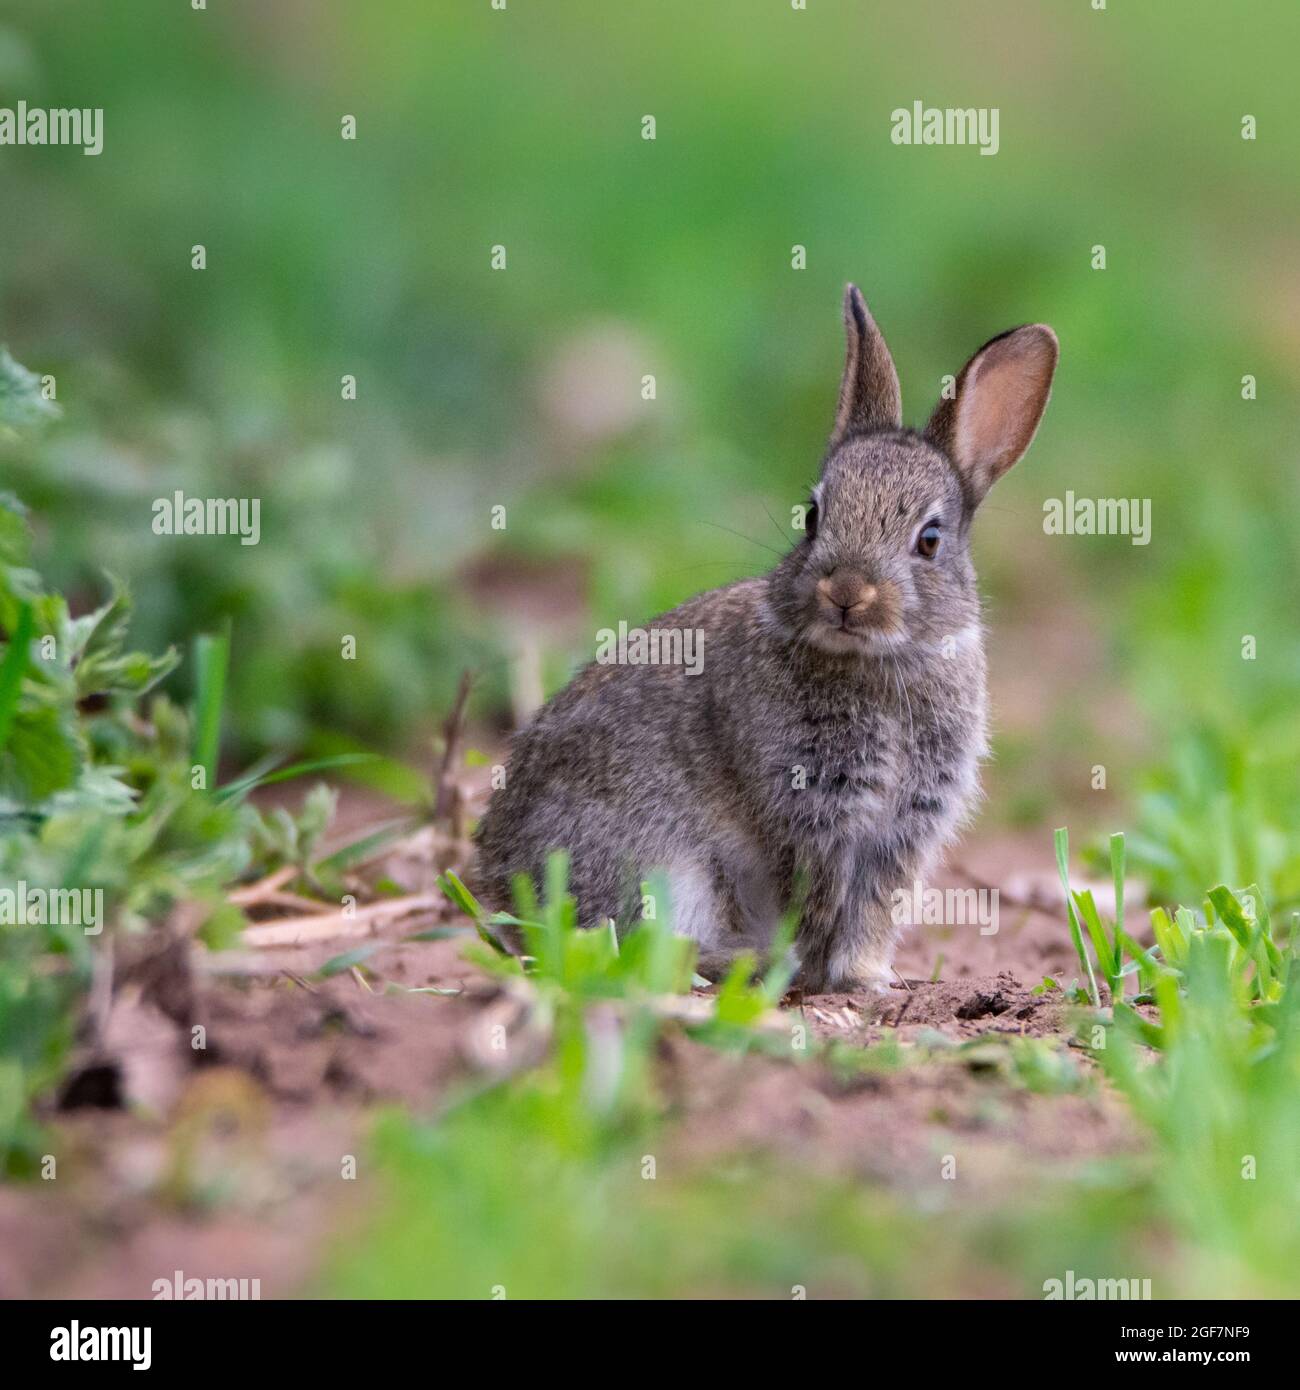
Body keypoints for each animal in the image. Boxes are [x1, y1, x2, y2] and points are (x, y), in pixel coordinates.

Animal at [474, 284, 1058, 993]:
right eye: (812, 516)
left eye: (929, 540)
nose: (846, 592)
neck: (874, 660)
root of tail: (496, 880)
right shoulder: (808, 810)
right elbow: (819, 898)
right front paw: (825, 976)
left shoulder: (902, 827)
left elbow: (871, 906)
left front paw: (863, 976)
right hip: (663, 865)